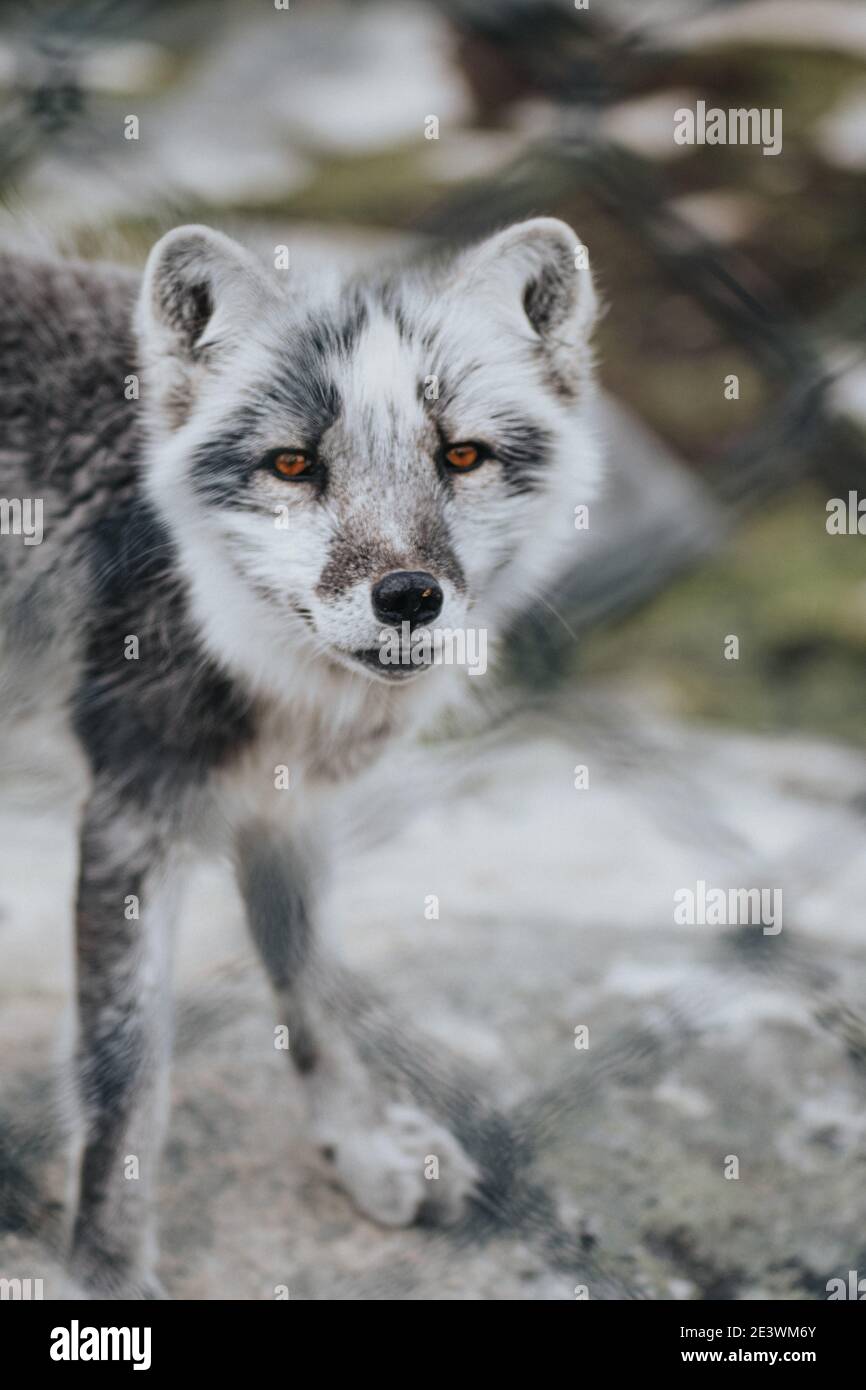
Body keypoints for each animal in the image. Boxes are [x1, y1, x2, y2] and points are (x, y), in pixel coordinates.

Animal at [0, 217, 601, 1297]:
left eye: (462, 455)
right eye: (290, 464)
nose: (407, 597)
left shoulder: (288, 809)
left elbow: (312, 983)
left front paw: (361, 1147)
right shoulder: (131, 815)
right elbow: (125, 1078)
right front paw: (108, 1273)